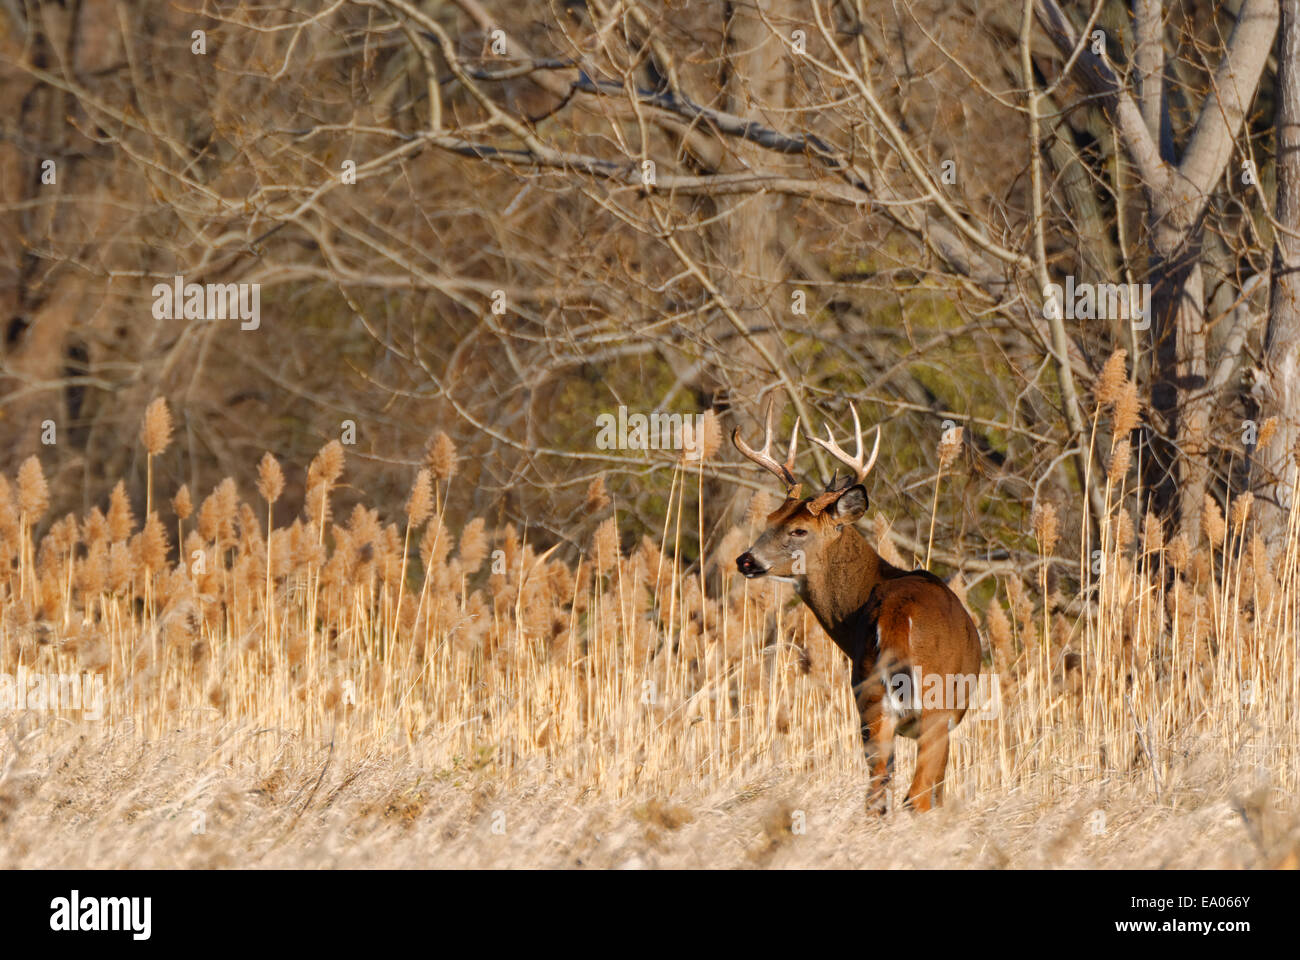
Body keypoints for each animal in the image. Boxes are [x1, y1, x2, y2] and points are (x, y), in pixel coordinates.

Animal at [733, 402, 982, 813]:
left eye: (797, 529)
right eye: (770, 520)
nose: (746, 560)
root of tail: (897, 619)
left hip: (870, 697)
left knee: (877, 792)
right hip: (933, 702)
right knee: (916, 796)